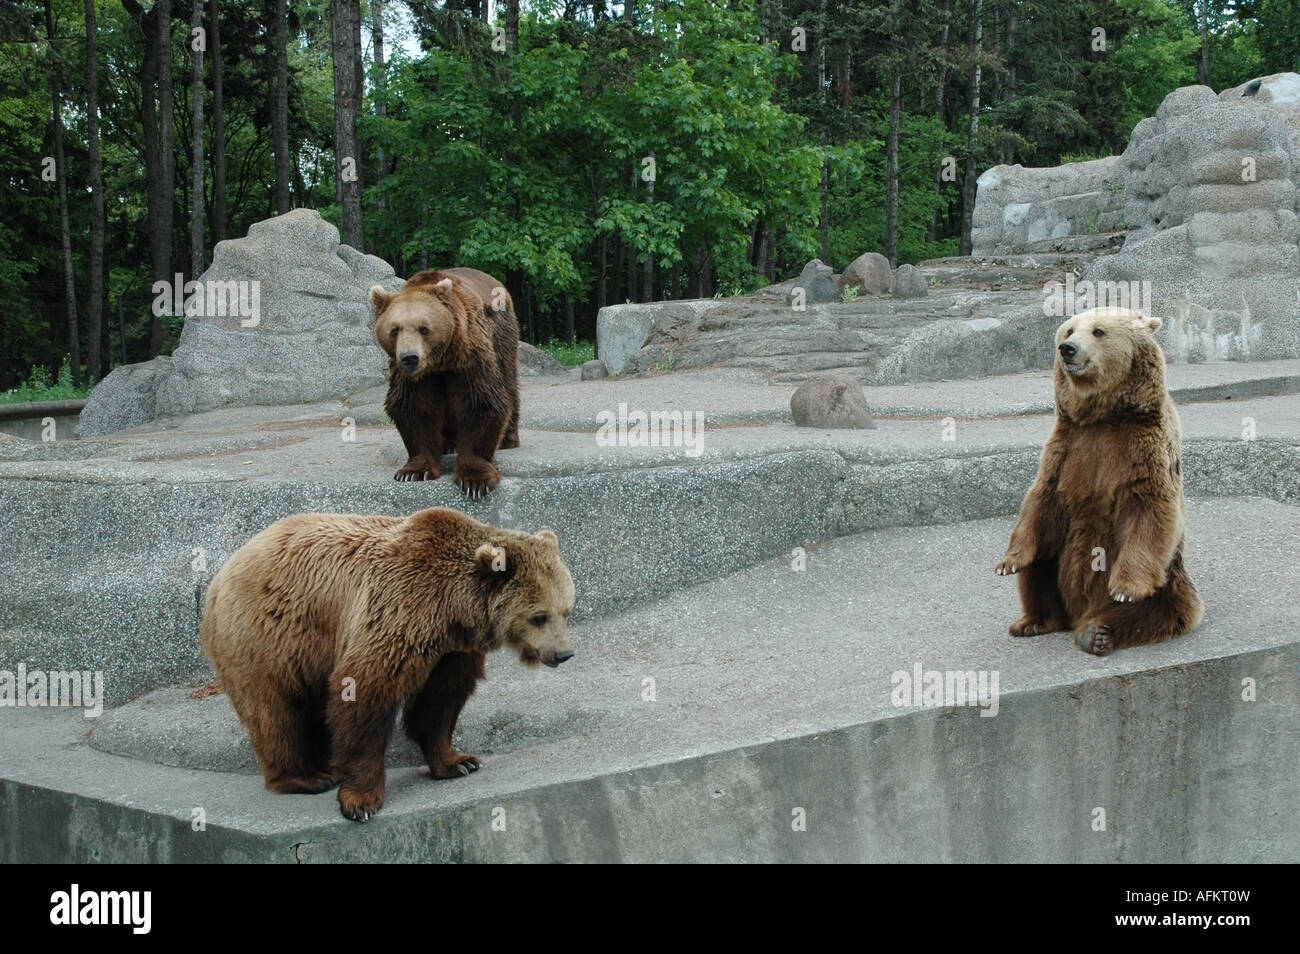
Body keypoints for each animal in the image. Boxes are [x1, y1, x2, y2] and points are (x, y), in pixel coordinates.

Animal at [200, 506, 575, 822]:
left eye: (566, 610)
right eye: (539, 616)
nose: (563, 654)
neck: (452, 611)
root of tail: (225, 570)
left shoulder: (451, 652)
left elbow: (439, 702)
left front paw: (458, 762)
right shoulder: (398, 612)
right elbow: (365, 690)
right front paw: (361, 800)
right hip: (268, 636)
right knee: (275, 711)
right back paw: (303, 777)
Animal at [370, 267, 521, 497]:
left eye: (424, 328)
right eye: (394, 330)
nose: (410, 358)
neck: (439, 364)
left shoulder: (468, 359)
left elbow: (481, 403)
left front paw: (474, 481)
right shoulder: (414, 379)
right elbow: (414, 408)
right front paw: (413, 471)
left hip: (502, 333)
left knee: (508, 381)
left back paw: (508, 439)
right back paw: (448, 444)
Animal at [995, 306, 1204, 655]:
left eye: (1098, 331)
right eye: (1069, 330)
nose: (1067, 349)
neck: (1103, 416)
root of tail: (1078, 611)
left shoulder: (1143, 447)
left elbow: (1150, 508)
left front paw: (1125, 588)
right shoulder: (1066, 447)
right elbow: (1040, 499)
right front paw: (1008, 562)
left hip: (1168, 578)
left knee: (1157, 609)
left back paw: (1097, 633)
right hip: (1057, 558)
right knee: (1039, 568)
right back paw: (1032, 622)